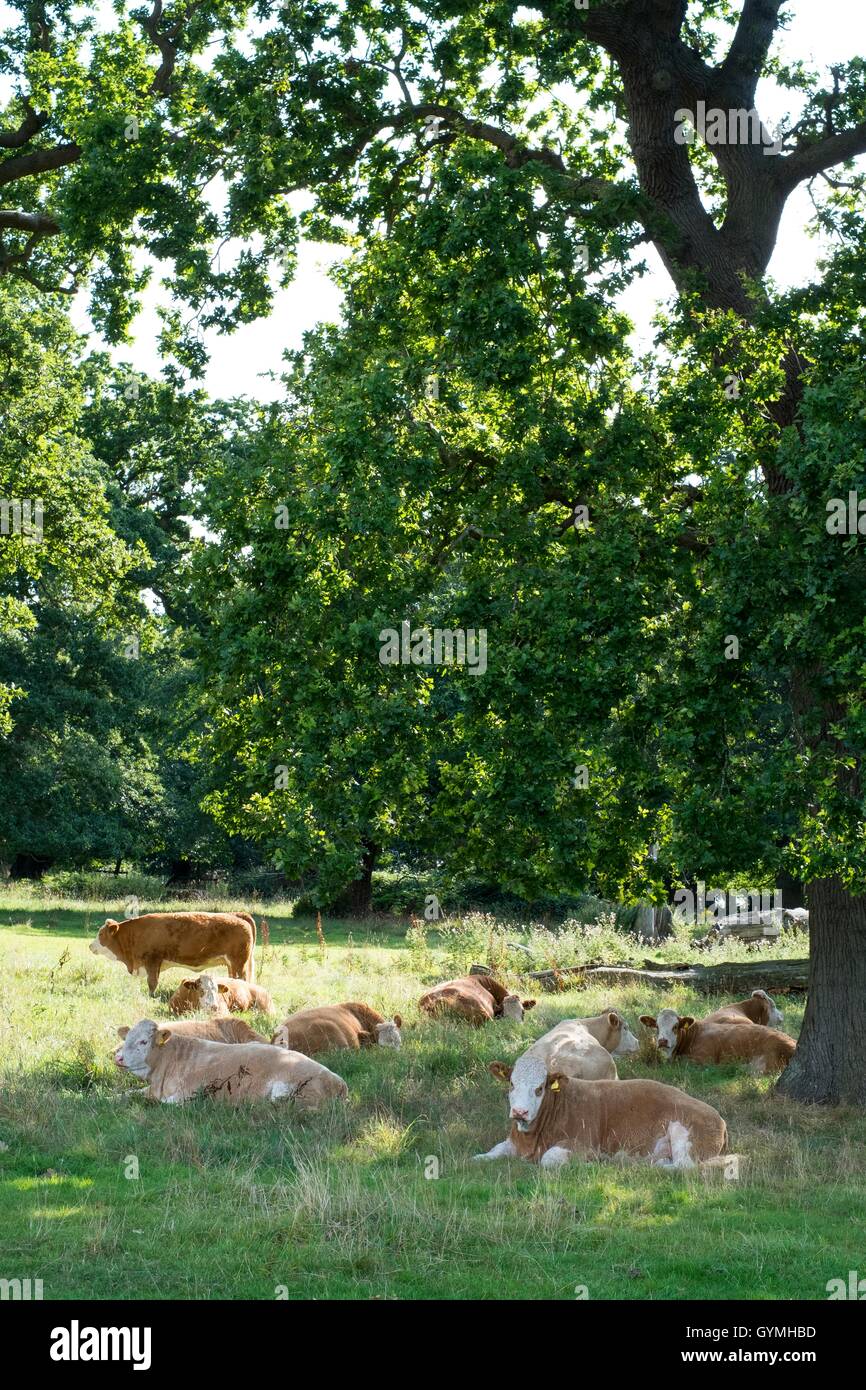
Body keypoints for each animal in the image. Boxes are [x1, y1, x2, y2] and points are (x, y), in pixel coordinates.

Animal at [89, 912, 257, 994]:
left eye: (101, 934)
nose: (91, 946)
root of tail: (239, 916)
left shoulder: (152, 961)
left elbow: (152, 982)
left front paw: (151, 996)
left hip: (238, 963)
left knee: (242, 979)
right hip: (232, 965)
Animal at [114, 1019, 348, 1106]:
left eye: (143, 1041)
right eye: (126, 1038)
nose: (118, 1058)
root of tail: (339, 1082)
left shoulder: (185, 1096)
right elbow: (126, 1094)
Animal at [474, 1074, 729, 1170]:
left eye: (539, 1089)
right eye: (511, 1084)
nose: (520, 1112)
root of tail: (719, 1117)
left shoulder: (582, 1144)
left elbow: (549, 1159)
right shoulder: (514, 1141)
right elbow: (493, 1151)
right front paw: (479, 1157)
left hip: (683, 1130)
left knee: (684, 1166)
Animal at [639, 1008, 795, 1073]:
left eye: (675, 1026)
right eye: (657, 1026)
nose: (662, 1041)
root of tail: (792, 1042)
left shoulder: (702, 1059)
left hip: (761, 1063)